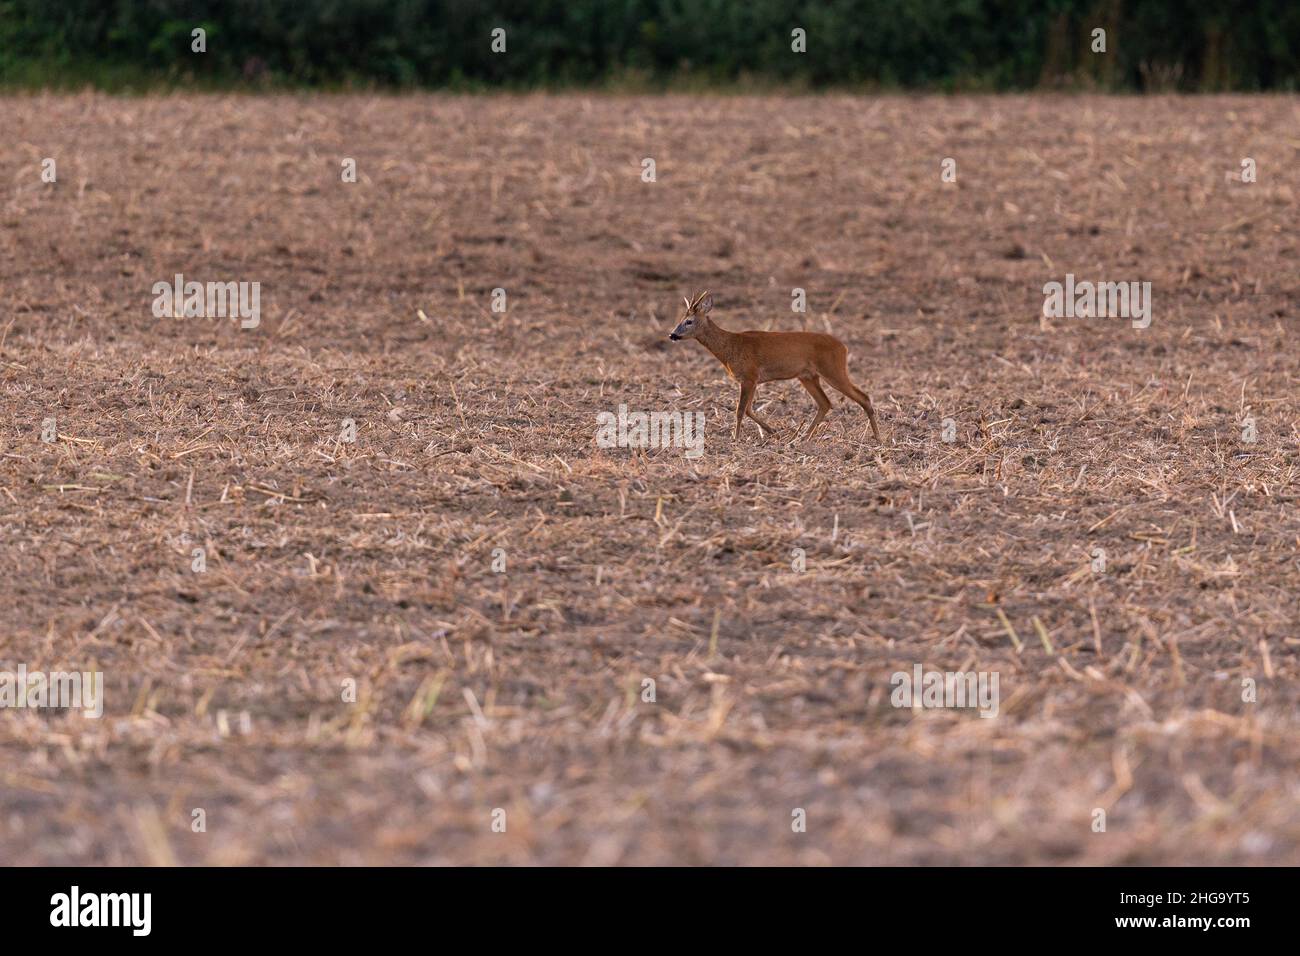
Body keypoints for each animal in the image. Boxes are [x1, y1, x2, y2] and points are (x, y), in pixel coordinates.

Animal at [668, 291, 882, 443]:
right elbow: (748, 409)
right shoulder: (753, 380)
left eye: (689, 321)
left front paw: (735, 438)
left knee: (863, 397)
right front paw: (774, 432)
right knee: (825, 403)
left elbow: (740, 410)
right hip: (808, 376)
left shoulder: (749, 376)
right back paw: (803, 437)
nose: (672, 334)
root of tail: (843, 347)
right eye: (680, 320)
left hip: (833, 369)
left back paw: (878, 438)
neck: (730, 346)